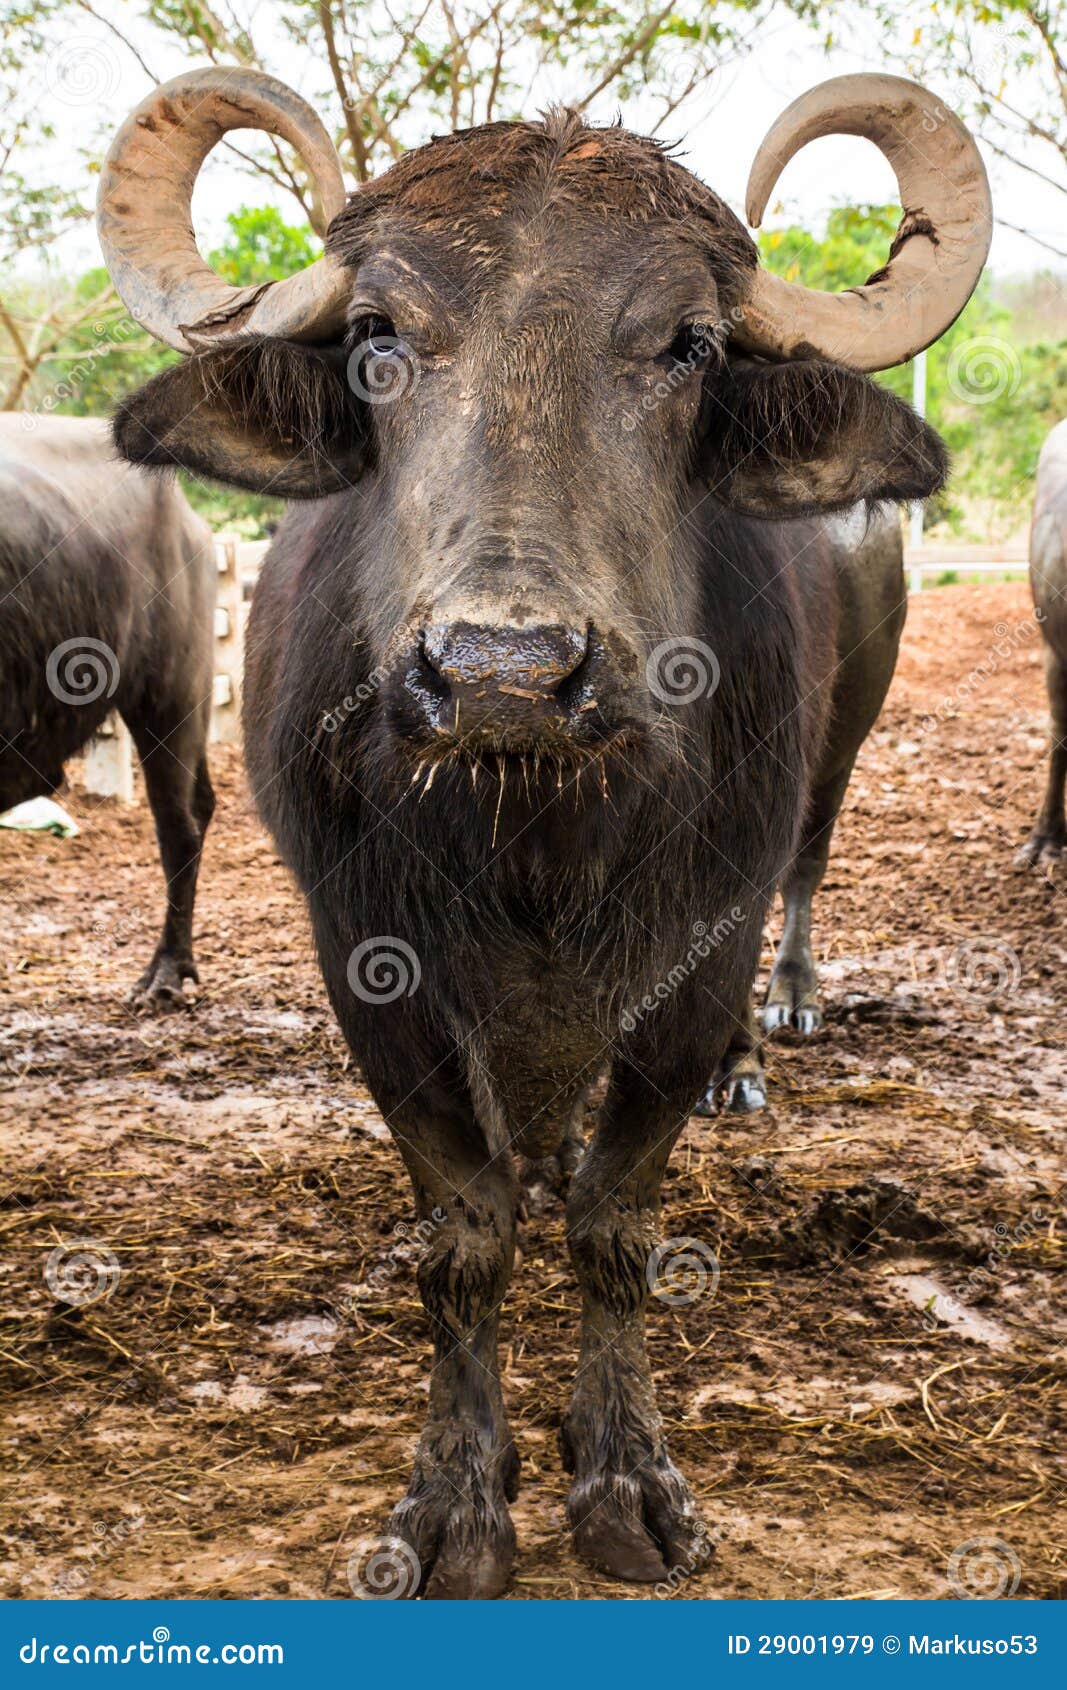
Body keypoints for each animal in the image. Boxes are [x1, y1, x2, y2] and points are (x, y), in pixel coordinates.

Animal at [98, 67, 989, 1595]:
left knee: (808, 868)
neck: (532, 829)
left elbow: (613, 1222)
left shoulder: (697, 944)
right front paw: (456, 1505)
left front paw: (625, 1482)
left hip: (837, 754)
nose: (501, 670)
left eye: (687, 343)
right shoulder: (366, 957)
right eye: (377, 336)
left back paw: (767, 1041)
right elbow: (464, 1236)